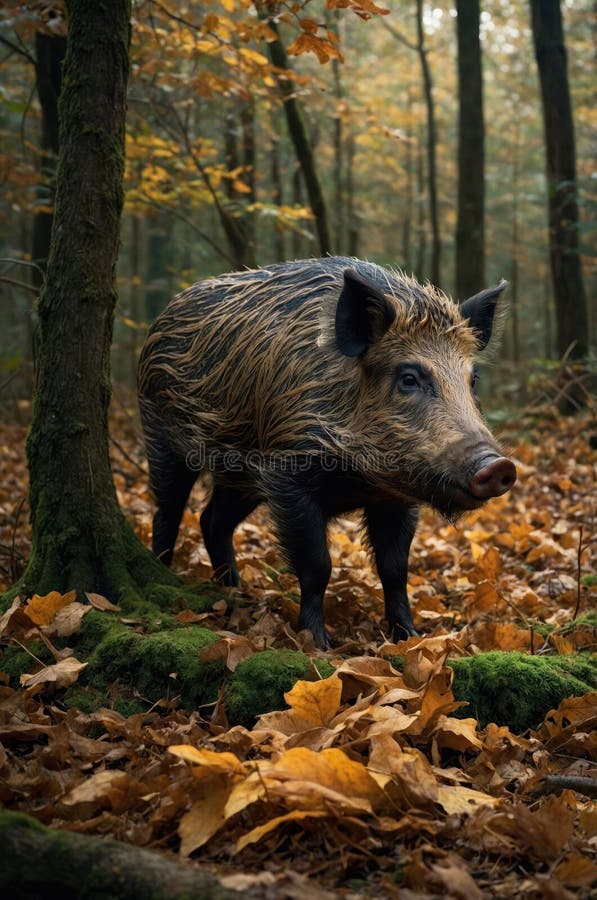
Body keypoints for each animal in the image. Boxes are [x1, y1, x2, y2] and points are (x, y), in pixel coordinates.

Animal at [138, 257, 516, 648]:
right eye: (409, 378)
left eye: (472, 380)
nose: (498, 465)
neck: (360, 477)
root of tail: (165, 313)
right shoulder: (287, 476)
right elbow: (318, 566)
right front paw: (319, 643)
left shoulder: (396, 497)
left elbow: (395, 568)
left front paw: (408, 637)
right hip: (161, 435)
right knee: (168, 511)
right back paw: (165, 574)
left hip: (240, 477)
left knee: (211, 520)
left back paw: (233, 589)